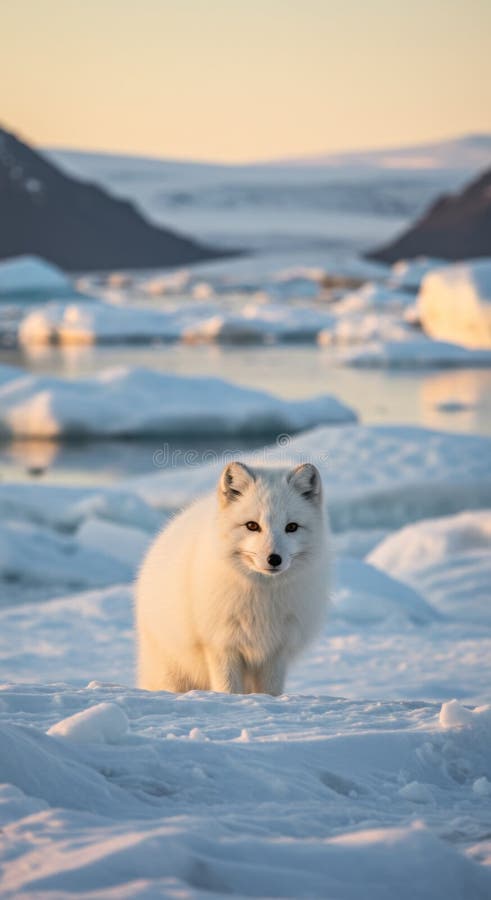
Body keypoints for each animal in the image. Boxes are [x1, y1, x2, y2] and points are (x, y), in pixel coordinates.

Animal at [135, 461, 330, 695]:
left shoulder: (276, 650)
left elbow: (270, 691)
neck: (261, 598)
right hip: (172, 673)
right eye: (252, 525)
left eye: (291, 527)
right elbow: (227, 689)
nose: (274, 559)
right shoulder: (221, 645)